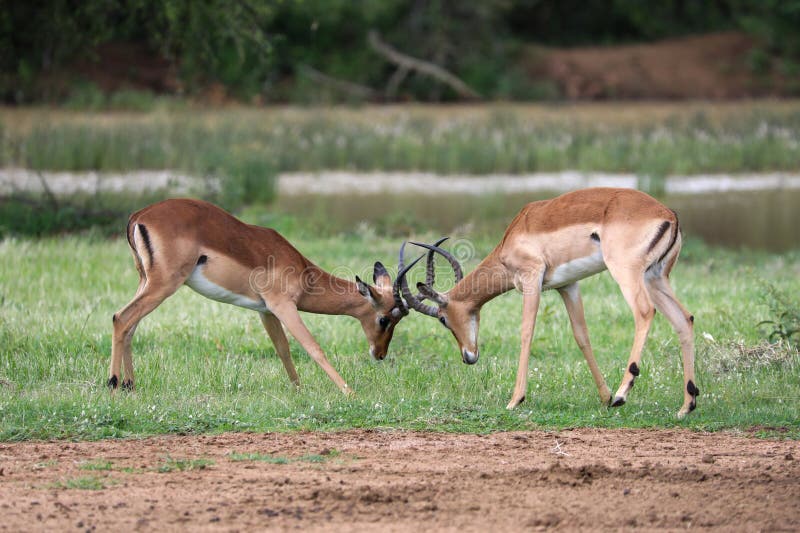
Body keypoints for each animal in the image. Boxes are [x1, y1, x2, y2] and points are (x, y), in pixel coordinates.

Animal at [110, 198, 419, 394]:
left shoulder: (265, 311)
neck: (302, 271)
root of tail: (140, 216)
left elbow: (282, 349)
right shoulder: (283, 305)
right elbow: (312, 347)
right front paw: (349, 392)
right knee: (121, 318)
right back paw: (113, 384)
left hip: (146, 281)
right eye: (385, 319)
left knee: (130, 325)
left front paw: (299, 391)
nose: (379, 354)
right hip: (163, 285)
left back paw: (130, 386)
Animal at [397, 188, 698, 418]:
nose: (468, 357)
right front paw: (604, 396)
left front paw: (515, 400)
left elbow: (526, 333)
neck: (514, 235)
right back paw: (686, 405)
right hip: (656, 277)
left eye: (442, 319)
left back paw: (623, 394)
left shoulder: (532, 279)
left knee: (644, 312)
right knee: (685, 319)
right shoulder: (568, 286)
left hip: (627, 273)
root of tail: (668, 214)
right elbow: (581, 336)